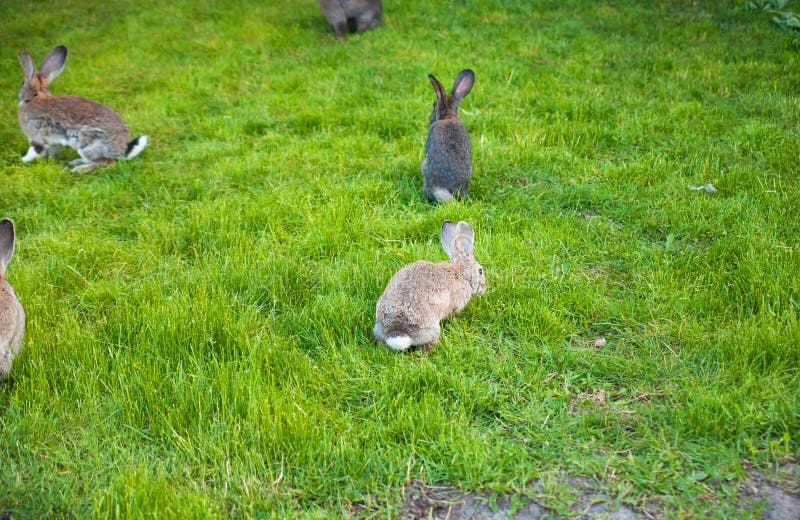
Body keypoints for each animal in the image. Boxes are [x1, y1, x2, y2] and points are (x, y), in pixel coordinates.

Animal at [17, 45, 148, 174]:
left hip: (86, 145)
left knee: (108, 163)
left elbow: (34, 150)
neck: (35, 97)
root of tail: (121, 150)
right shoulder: (54, 141)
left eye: (22, 82)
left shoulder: (36, 135)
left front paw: (24, 159)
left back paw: (79, 169)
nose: (18, 95)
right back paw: (76, 162)